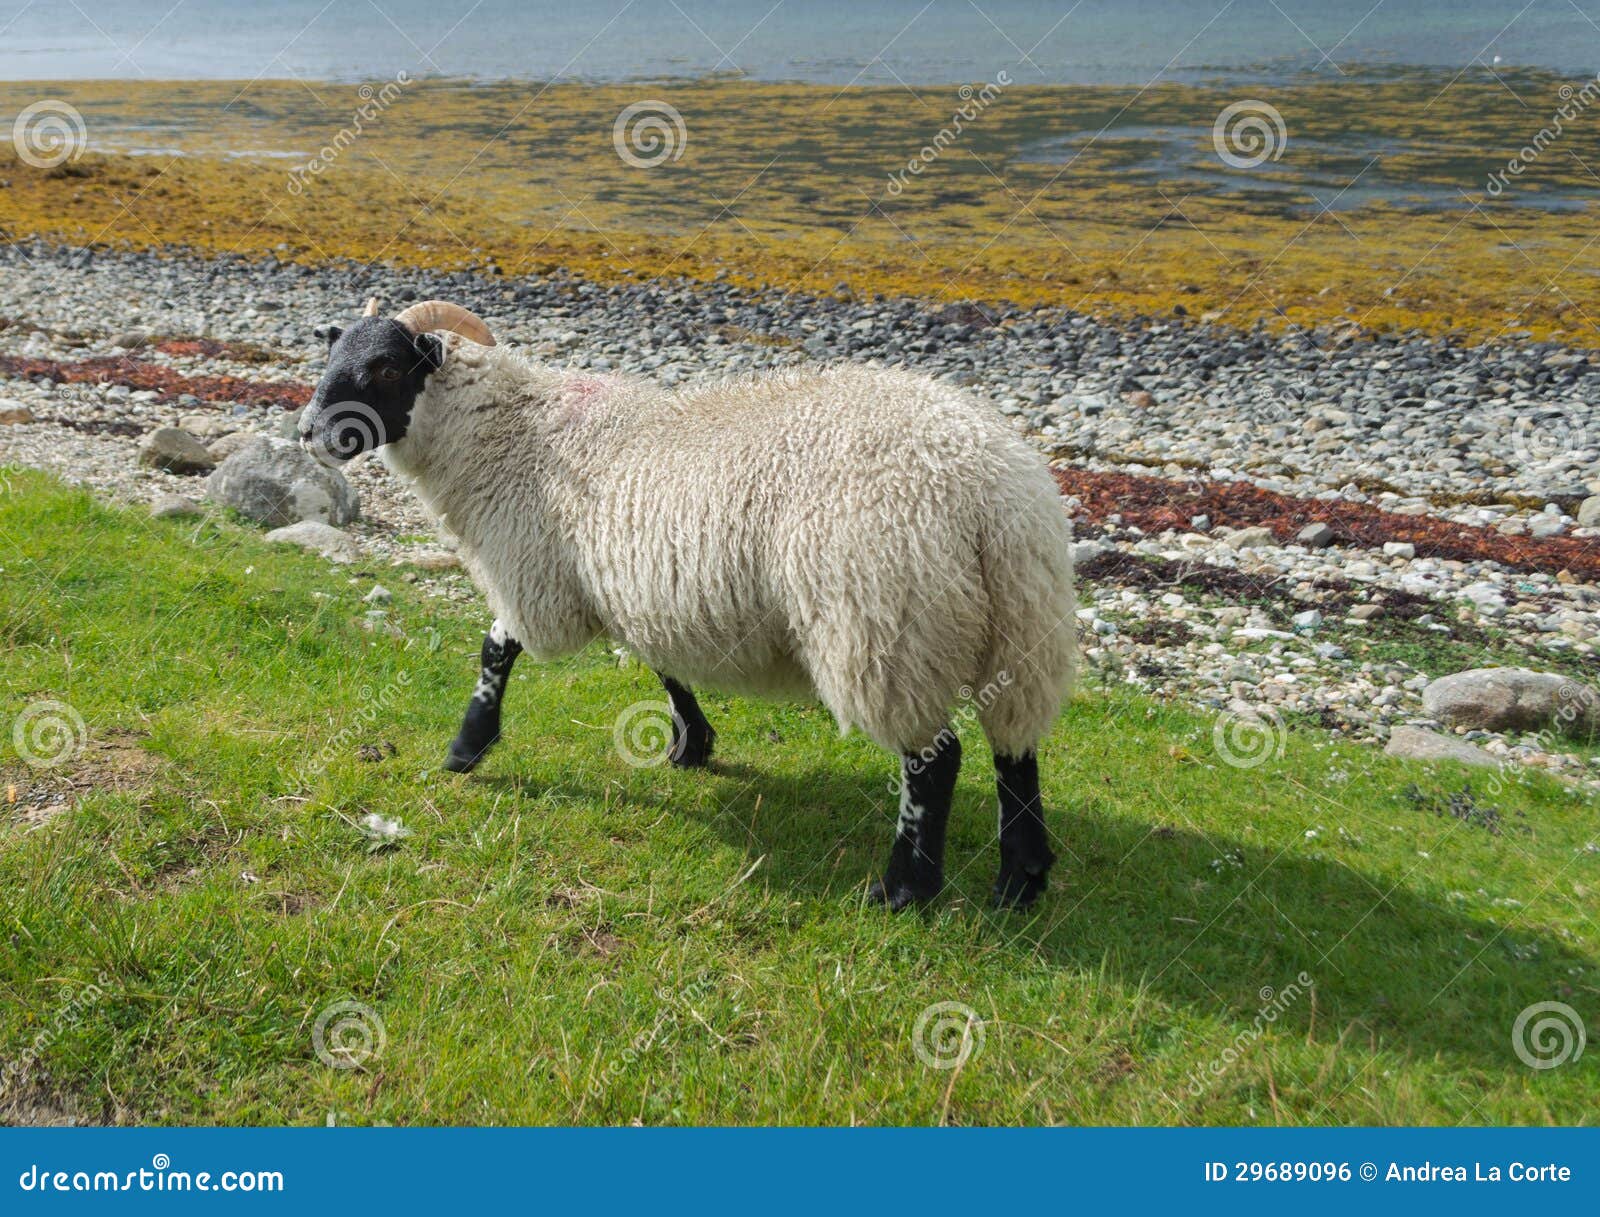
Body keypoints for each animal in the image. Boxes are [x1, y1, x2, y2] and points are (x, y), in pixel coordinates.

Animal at [301, 298, 1076, 909]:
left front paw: (468, 746)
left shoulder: (536, 570)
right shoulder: (635, 577)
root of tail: (988, 488)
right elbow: (659, 660)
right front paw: (692, 742)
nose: (307, 433)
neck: (511, 431)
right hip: (1021, 620)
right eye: (332, 354)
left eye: (385, 369)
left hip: (885, 623)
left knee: (934, 762)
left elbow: (498, 649)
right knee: (1015, 749)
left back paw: (905, 889)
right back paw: (1022, 879)